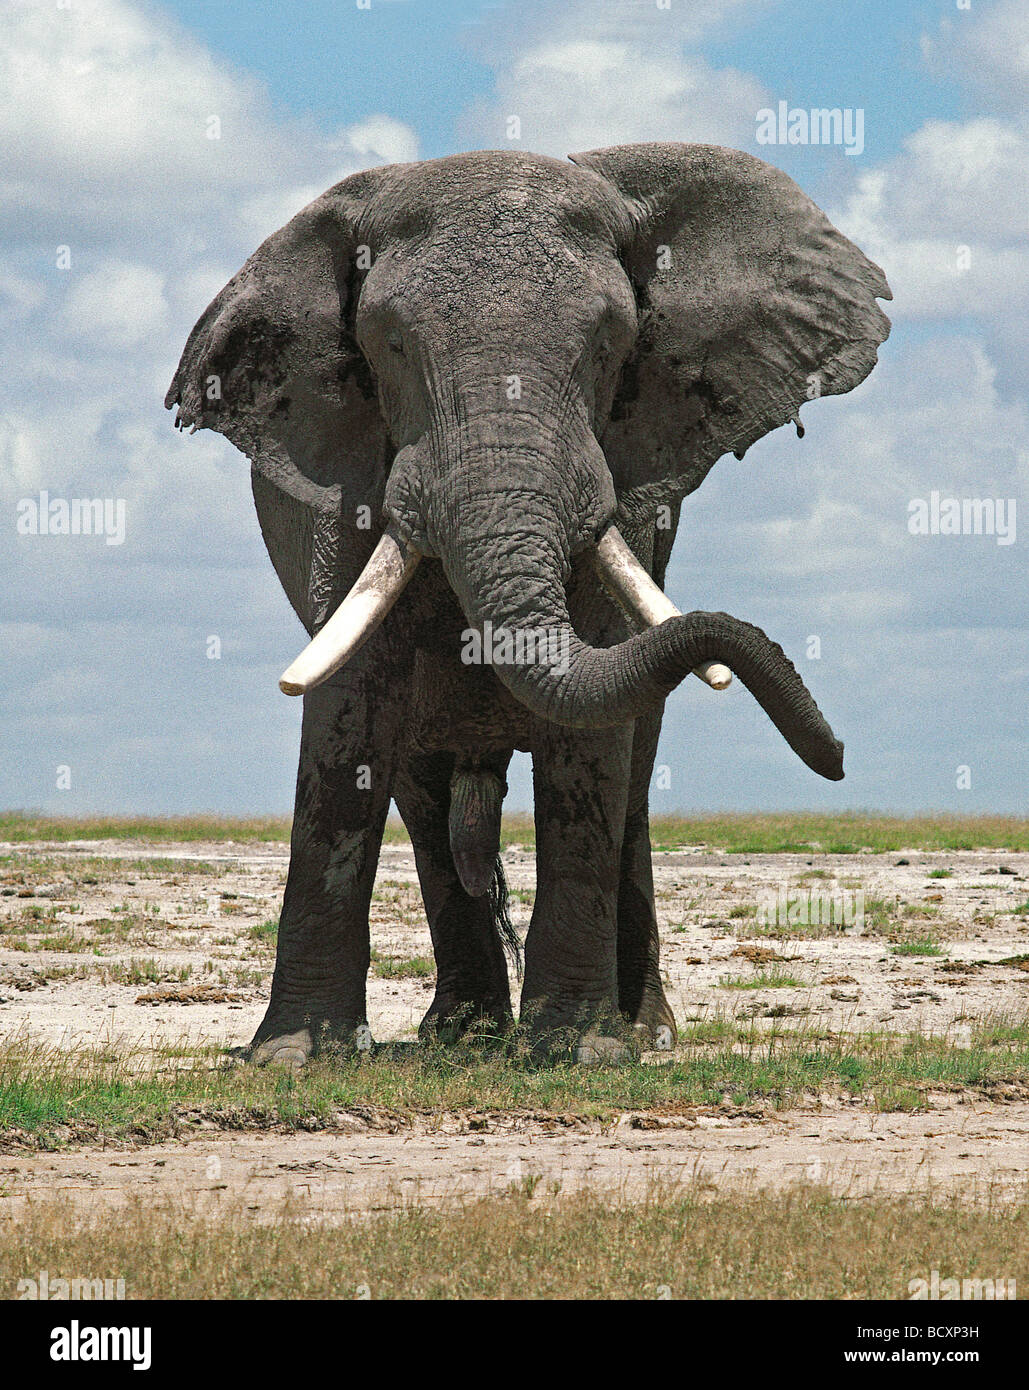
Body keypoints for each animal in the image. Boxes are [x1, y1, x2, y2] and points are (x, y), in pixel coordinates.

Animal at [166, 143, 891, 1066]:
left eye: (609, 343)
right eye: (390, 344)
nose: (836, 757)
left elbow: (592, 745)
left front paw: (577, 1052)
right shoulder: (347, 485)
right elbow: (346, 712)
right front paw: (294, 1059)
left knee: (632, 778)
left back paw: (640, 1032)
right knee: (422, 792)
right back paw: (461, 1032)